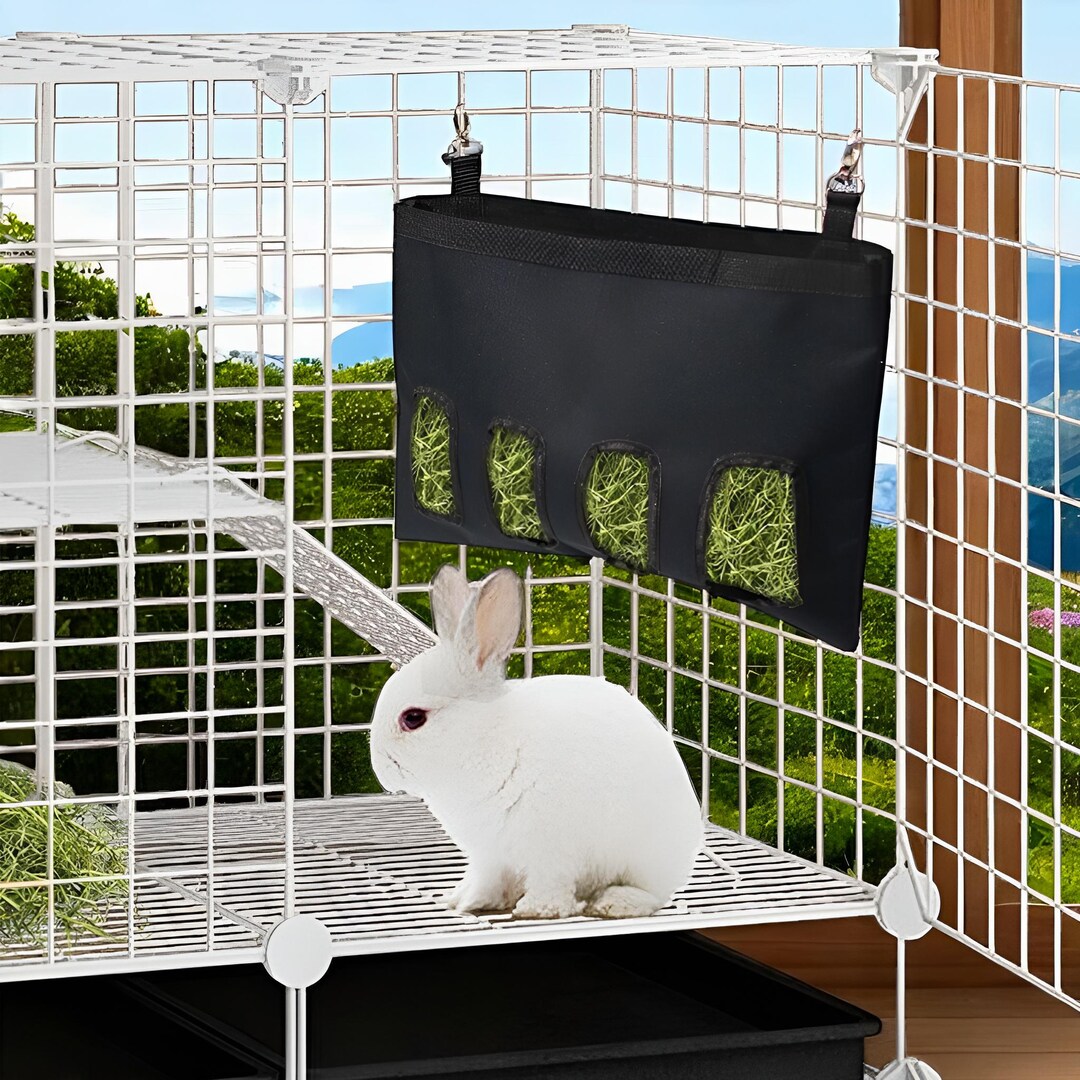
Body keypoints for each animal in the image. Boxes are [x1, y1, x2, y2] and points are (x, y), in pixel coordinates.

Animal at [369, 564, 705, 920]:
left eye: (413, 718)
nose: (381, 771)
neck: (489, 740)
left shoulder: (550, 850)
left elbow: (549, 884)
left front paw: (536, 911)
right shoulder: (490, 855)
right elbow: (486, 881)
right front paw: (464, 902)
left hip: (647, 859)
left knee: (653, 894)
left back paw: (615, 903)